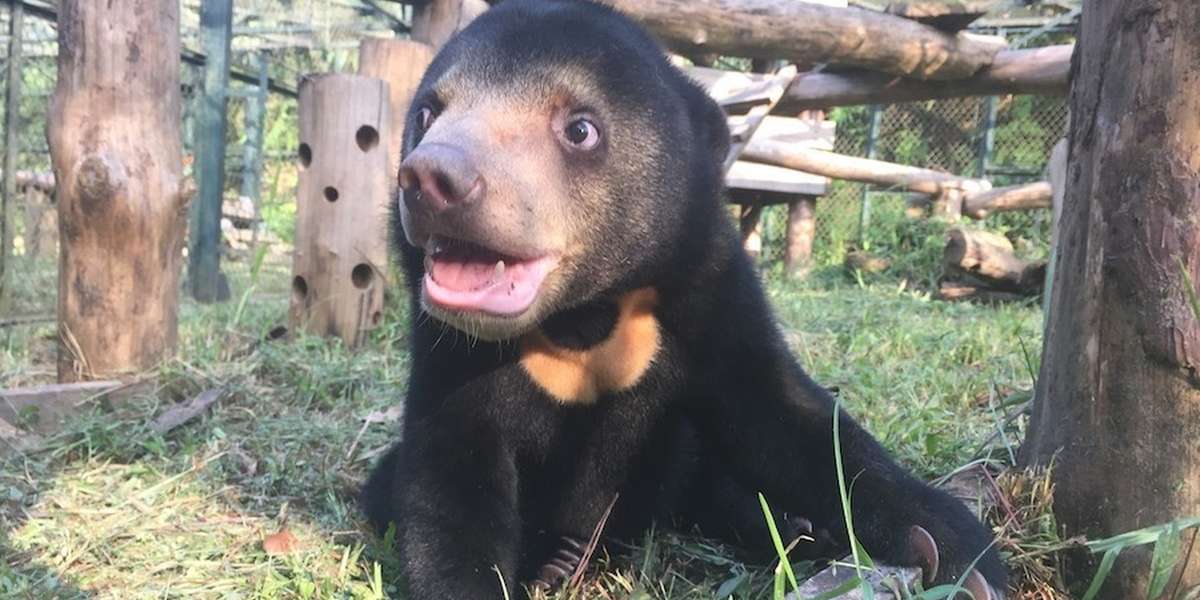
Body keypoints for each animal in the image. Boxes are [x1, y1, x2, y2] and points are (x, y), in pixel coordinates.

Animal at [362, 1, 1007, 598]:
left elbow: (792, 419)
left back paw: (796, 532)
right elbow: (451, 474)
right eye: (427, 112)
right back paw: (559, 560)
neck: (585, 313)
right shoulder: (451, 347)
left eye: (580, 128)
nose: (432, 179)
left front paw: (959, 552)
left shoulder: (713, 291)